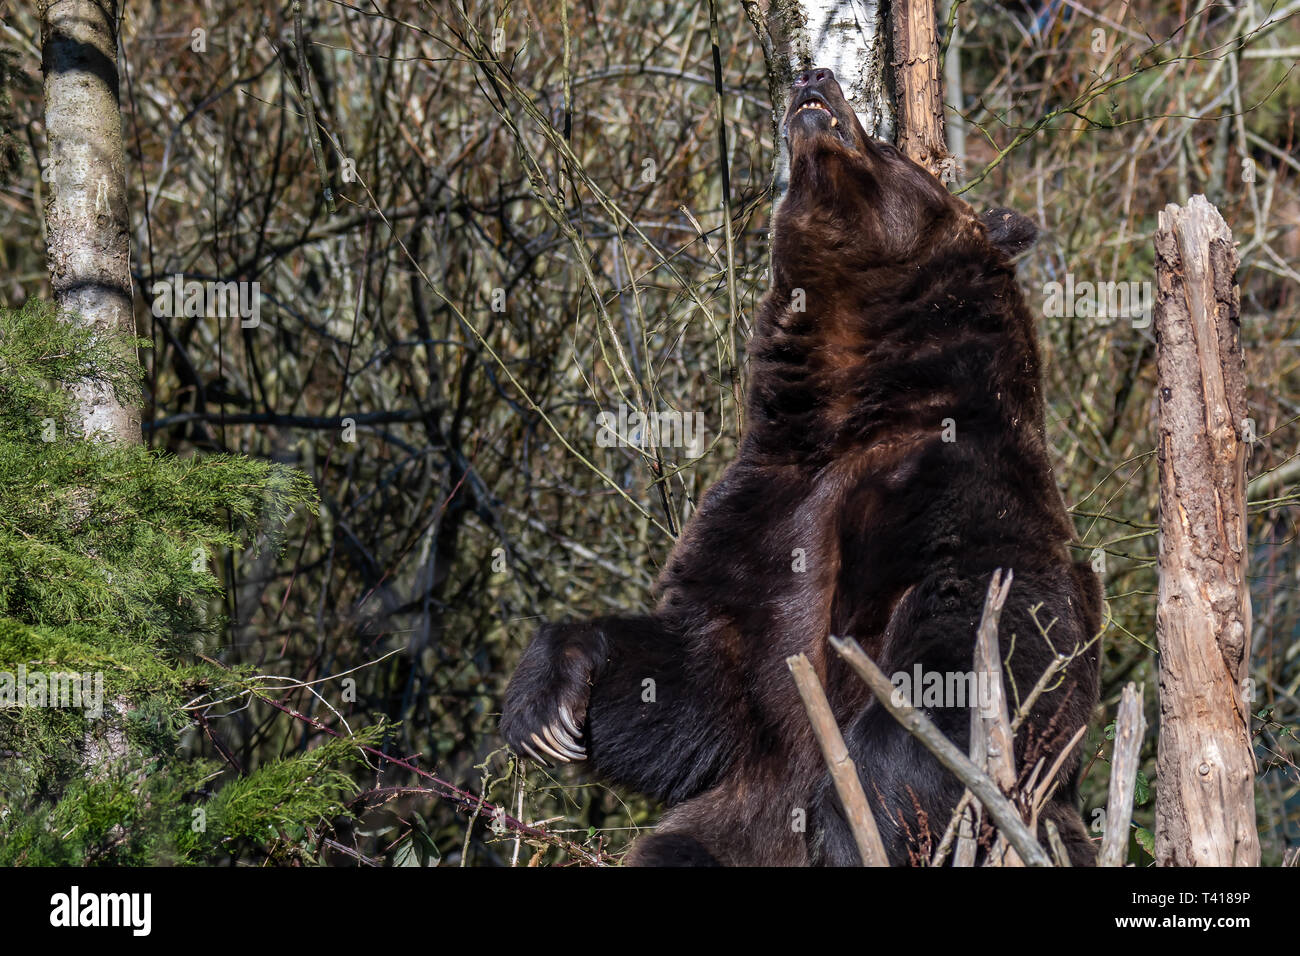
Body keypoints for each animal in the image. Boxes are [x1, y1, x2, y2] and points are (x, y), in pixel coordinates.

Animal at [501, 67, 1101, 867]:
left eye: (888, 147)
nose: (816, 78)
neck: (855, 404)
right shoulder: (770, 510)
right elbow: (698, 677)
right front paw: (546, 709)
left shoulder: (967, 491)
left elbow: (985, 653)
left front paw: (854, 816)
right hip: (727, 832)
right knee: (677, 848)